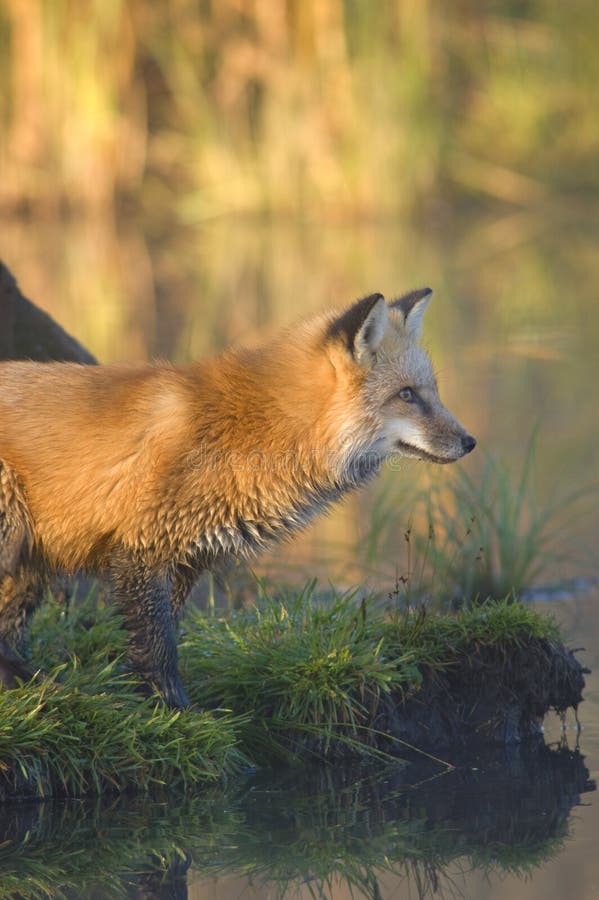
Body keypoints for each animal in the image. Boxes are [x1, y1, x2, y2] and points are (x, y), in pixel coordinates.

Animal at [0, 289, 475, 707]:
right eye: (407, 395)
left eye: (433, 392)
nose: (470, 442)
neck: (252, 430)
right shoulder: (142, 550)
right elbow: (159, 647)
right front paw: (172, 711)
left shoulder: (186, 560)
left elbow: (165, 635)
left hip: (30, 564)